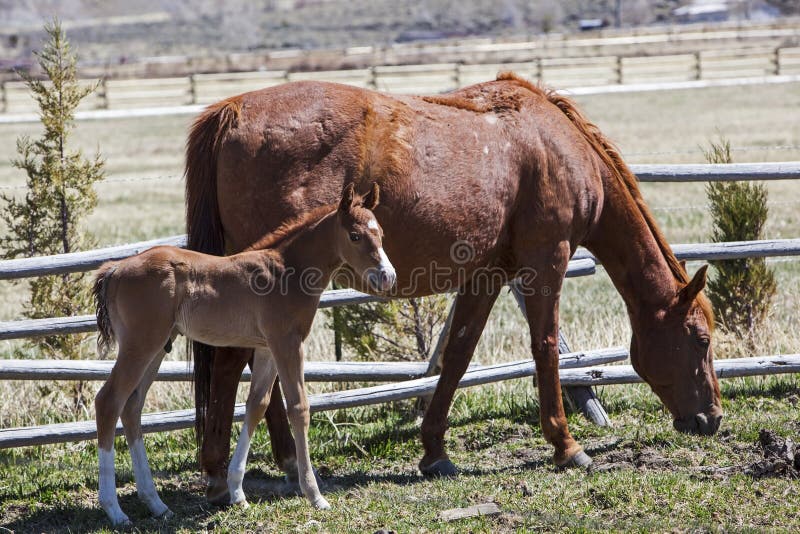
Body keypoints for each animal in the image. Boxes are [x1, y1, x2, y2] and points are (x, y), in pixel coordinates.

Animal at [92, 183, 395, 525]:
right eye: (355, 236)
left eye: (381, 233)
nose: (388, 276)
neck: (287, 271)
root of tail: (115, 269)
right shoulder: (288, 343)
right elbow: (299, 408)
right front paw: (315, 495)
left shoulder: (266, 348)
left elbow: (256, 405)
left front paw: (237, 493)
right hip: (140, 345)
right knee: (108, 402)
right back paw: (115, 510)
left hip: (157, 347)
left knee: (131, 407)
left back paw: (156, 503)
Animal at [185, 72, 722, 503]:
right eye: (701, 340)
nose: (712, 418)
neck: (557, 145)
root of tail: (232, 112)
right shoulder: (546, 263)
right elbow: (545, 348)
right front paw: (567, 446)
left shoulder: (487, 276)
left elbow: (459, 357)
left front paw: (435, 451)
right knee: (232, 362)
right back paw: (221, 474)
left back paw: (282, 461)